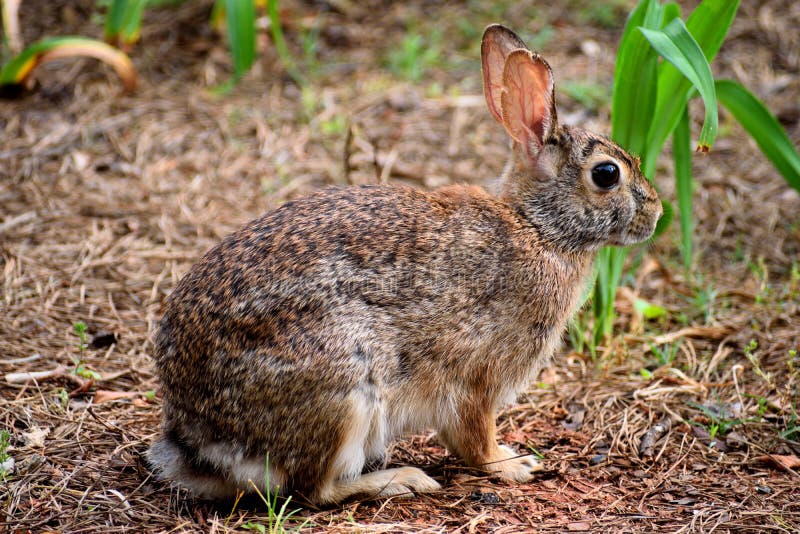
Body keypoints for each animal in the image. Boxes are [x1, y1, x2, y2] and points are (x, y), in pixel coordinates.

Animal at [147, 24, 662, 505]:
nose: (656, 214)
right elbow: (475, 436)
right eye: (607, 174)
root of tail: (200, 438)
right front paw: (512, 465)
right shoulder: (478, 376)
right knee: (312, 489)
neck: (537, 226)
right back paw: (402, 479)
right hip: (347, 387)